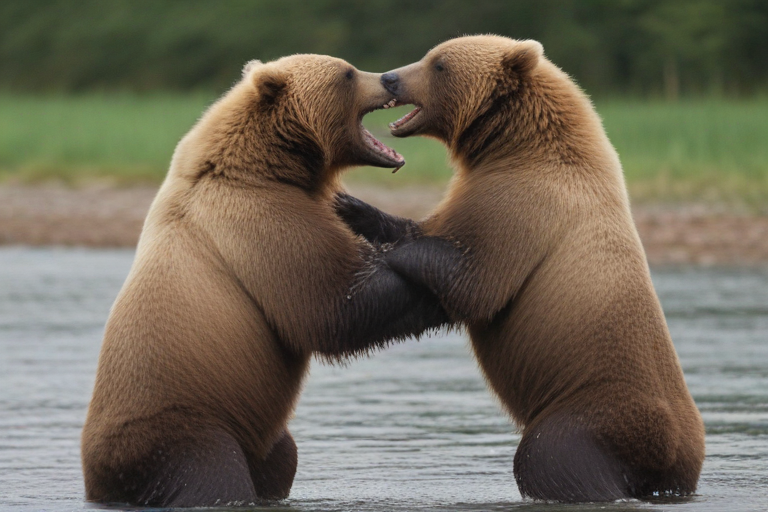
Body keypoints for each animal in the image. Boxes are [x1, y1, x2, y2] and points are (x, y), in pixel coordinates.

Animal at [80, 55, 448, 508]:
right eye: (347, 74)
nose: (387, 79)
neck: (272, 161)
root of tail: (99, 476)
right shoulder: (261, 216)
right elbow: (334, 305)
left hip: (262, 434)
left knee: (281, 460)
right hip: (179, 428)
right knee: (212, 475)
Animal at [336, 35, 705, 502]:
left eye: (438, 64)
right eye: (431, 55)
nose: (390, 77)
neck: (510, 144)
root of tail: (671, 451)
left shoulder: (521, 204)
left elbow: (473, 280)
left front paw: (373, 237)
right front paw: (351, 206)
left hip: (595, 411)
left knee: (548, 455)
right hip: (674, 463)